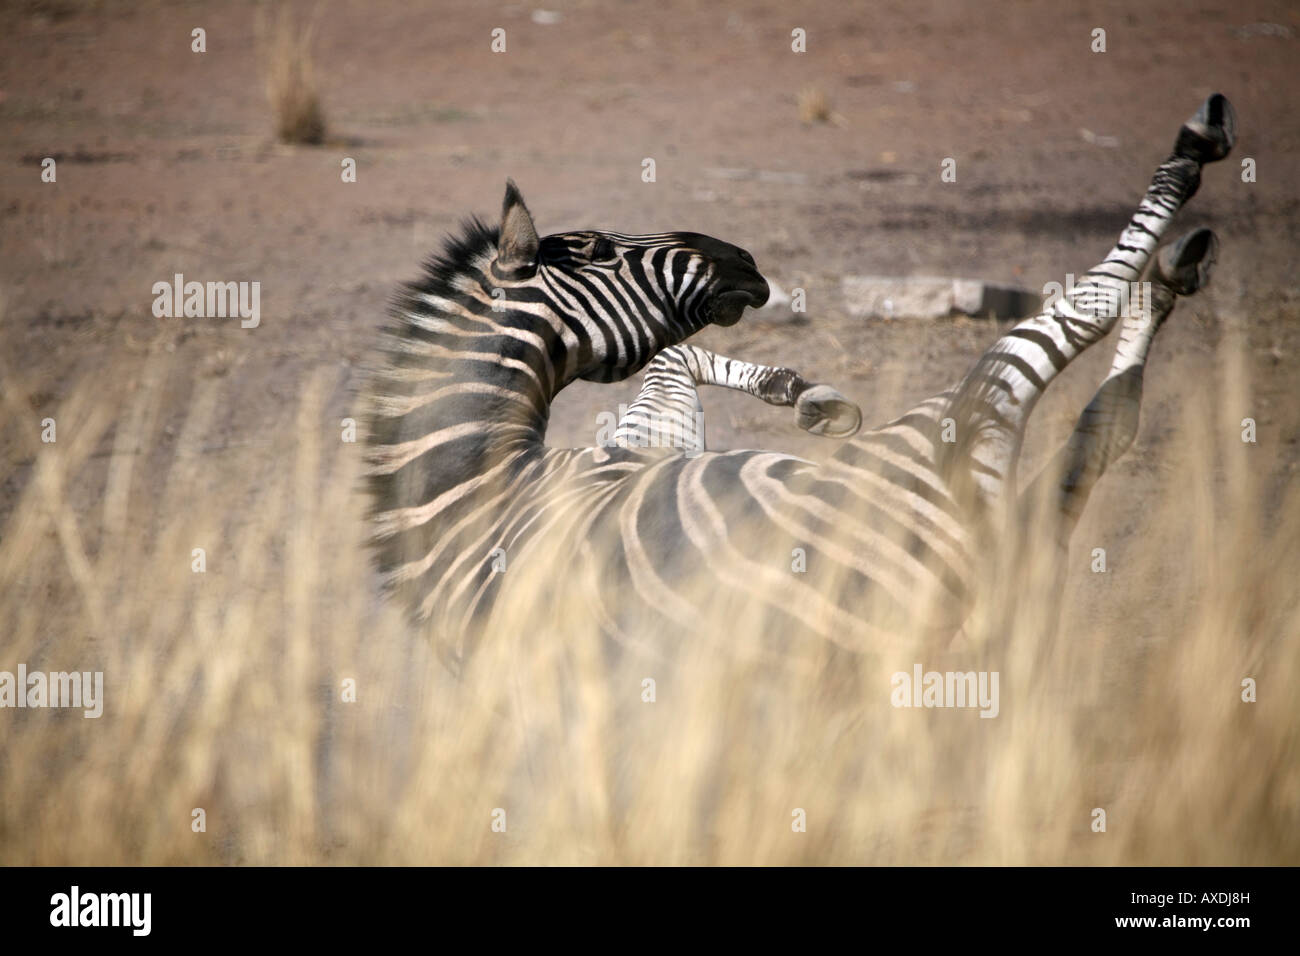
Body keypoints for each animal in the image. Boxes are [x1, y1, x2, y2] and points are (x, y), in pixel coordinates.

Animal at [365, 93, 1235, 664]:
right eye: (595, 250)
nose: (744, 260)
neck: (473, 497)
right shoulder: (630, 447)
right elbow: (670, 357)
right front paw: (810, 395)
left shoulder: (638, 446)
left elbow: (677, 361)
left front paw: (800, 389)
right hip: (941, 450)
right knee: (1067, 339)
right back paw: (1190, 165)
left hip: (1014, 548)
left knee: (1101, 428)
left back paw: (1171, 273)